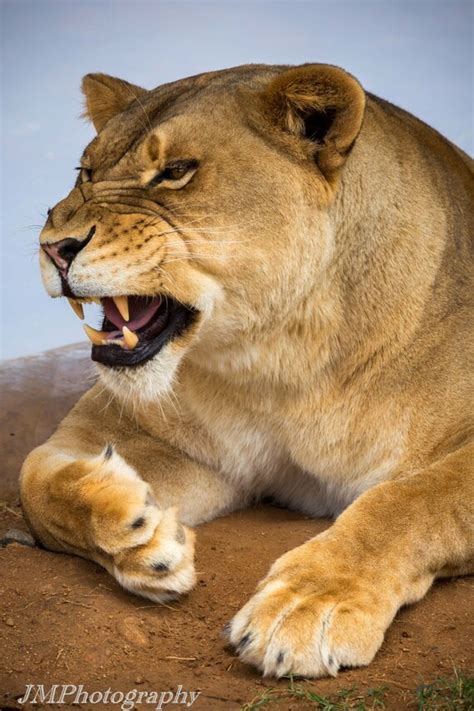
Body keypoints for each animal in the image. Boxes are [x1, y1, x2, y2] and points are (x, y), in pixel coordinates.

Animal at [20, 64, 473, 678]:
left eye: (175, 172)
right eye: (84, 172)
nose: (54, 249)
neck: (281, 367)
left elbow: (412, 501)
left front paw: (309, 607)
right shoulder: (161, 438)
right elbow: (34, 480)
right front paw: (141, 535)